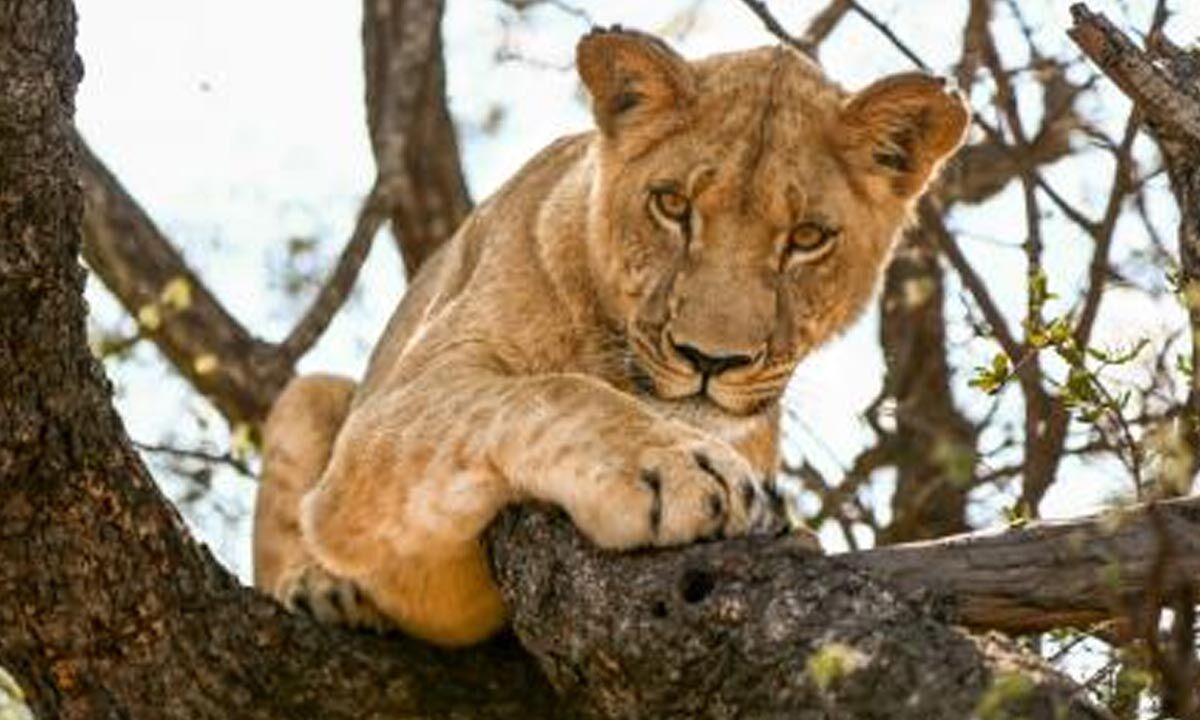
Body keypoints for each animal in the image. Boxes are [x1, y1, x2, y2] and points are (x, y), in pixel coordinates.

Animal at [252, 27, 969, 647]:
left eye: (807, 238)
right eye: (673, 205)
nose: (711, 359)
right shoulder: (383, 428)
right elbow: (550, 392)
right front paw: (681, 471)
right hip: (314, 395)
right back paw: (322, 589)